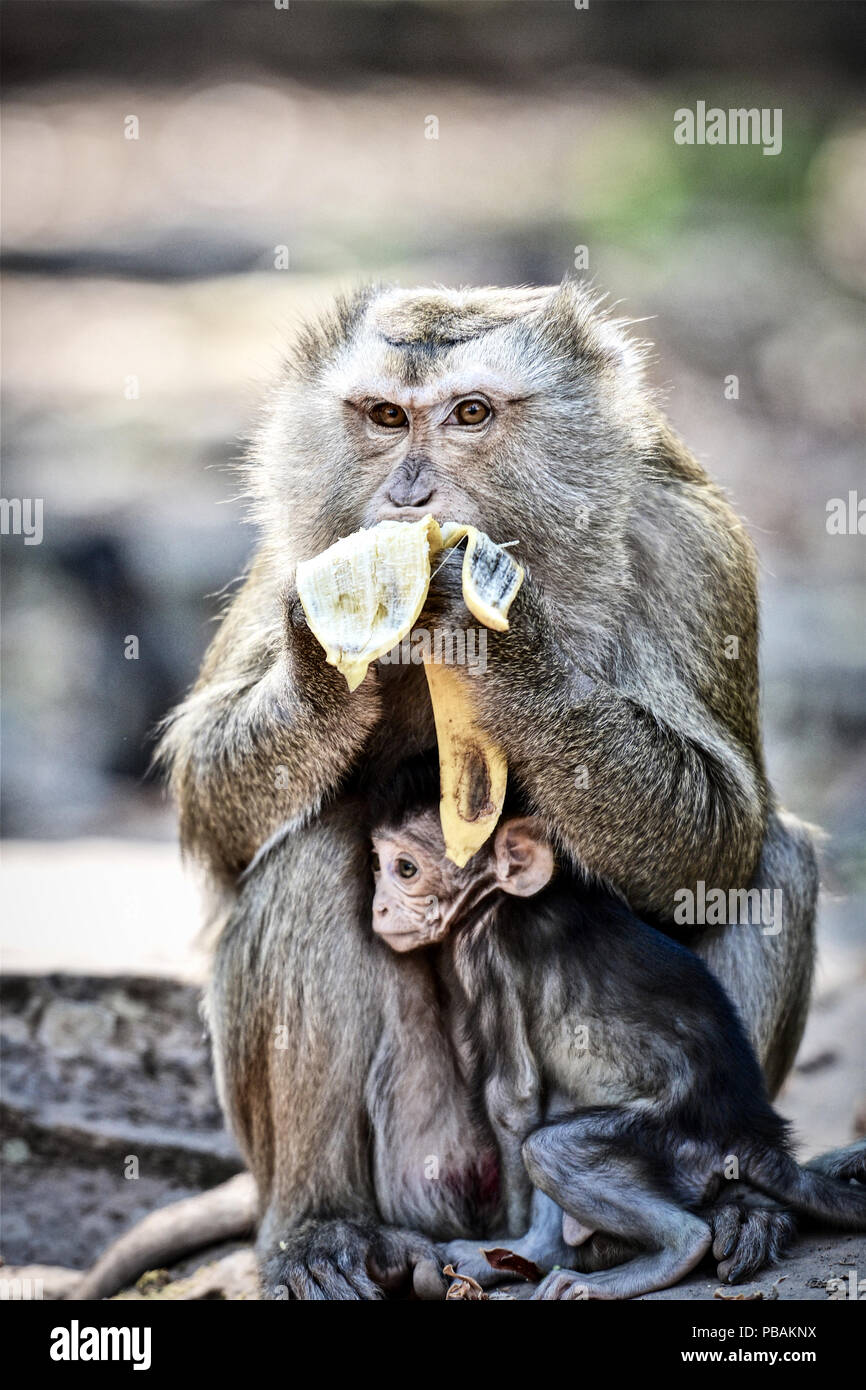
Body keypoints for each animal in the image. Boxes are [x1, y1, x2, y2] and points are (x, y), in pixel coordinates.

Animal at [369, 788, 866, 1300]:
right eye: (379, 865)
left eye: (405, 868)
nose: (378, 908)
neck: (495, 899)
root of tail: (747, 1133)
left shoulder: (484, 953)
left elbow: (513, 1098)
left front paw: (511, 1239)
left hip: (671, 1142)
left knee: (550, 1148)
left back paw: (647, 1252)